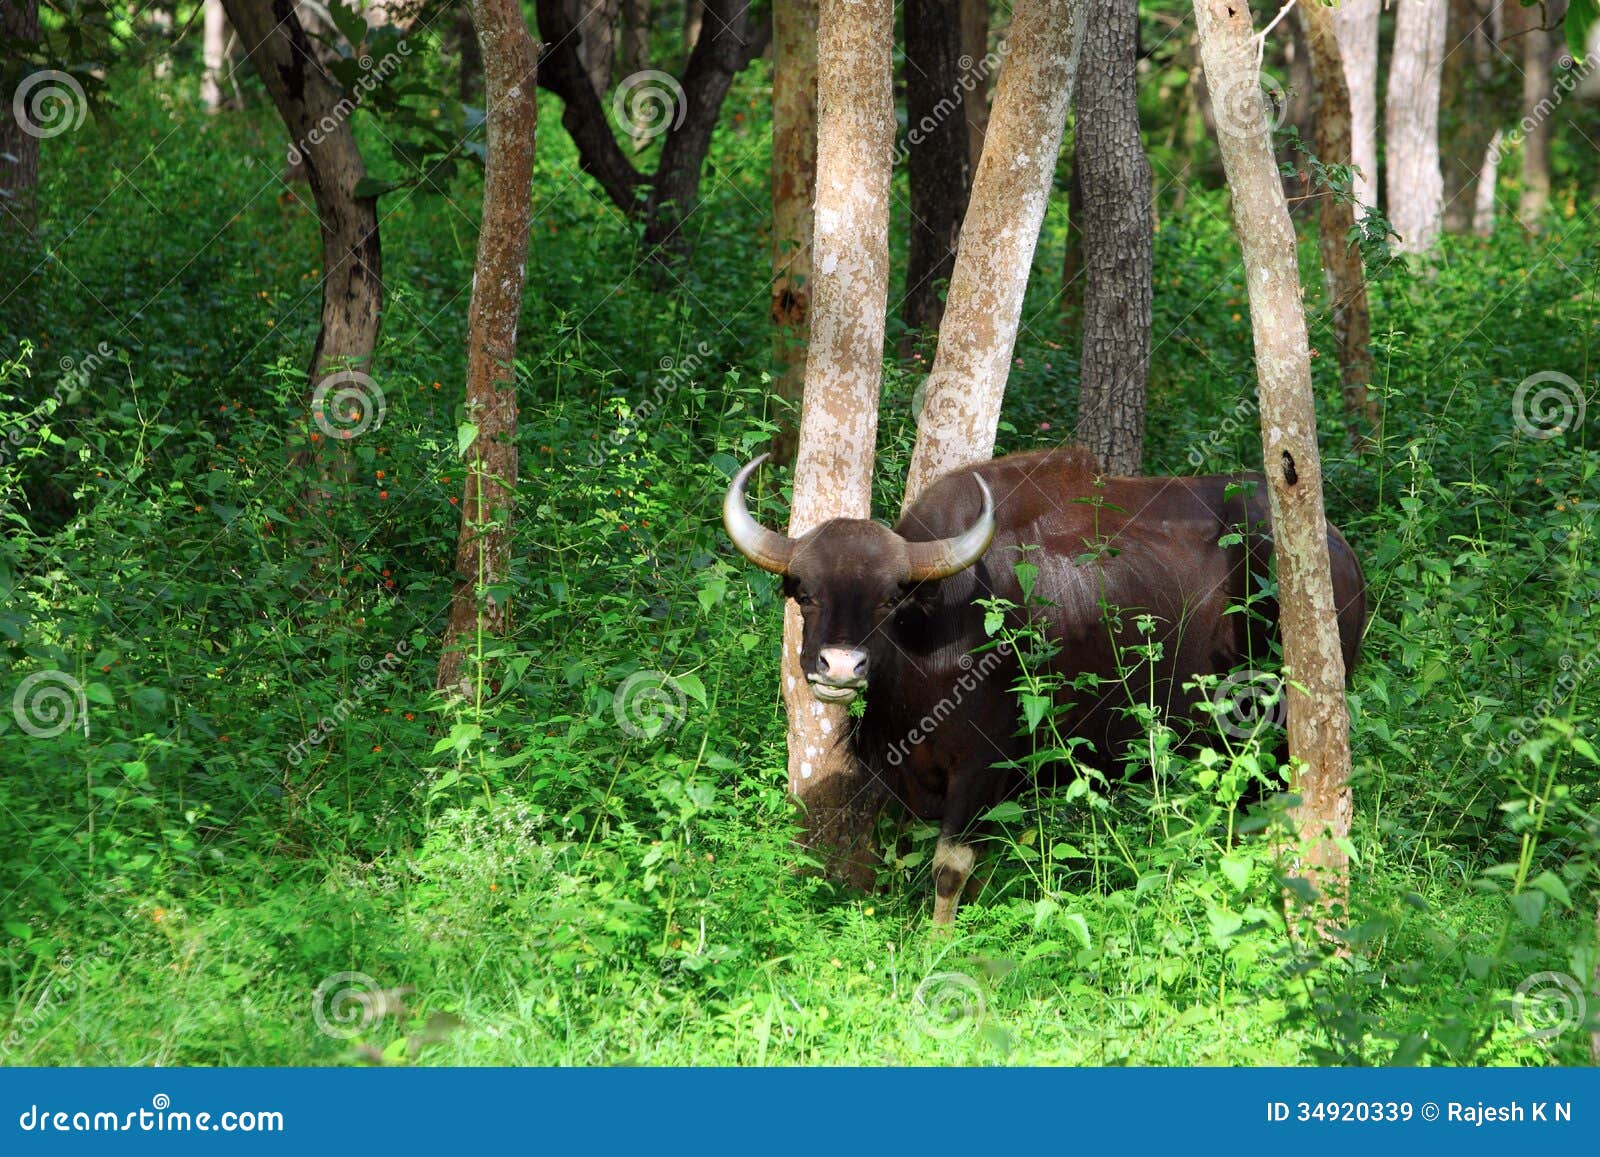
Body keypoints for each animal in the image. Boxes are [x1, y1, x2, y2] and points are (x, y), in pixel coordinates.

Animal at [724, 447, 1367, 922]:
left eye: (889, 598)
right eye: (806, 593)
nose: (839, 667)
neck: (936, 633)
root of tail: (1338, 550)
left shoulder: (984, 765)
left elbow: (949, 865)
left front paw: (937, 942)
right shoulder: (902, 769)